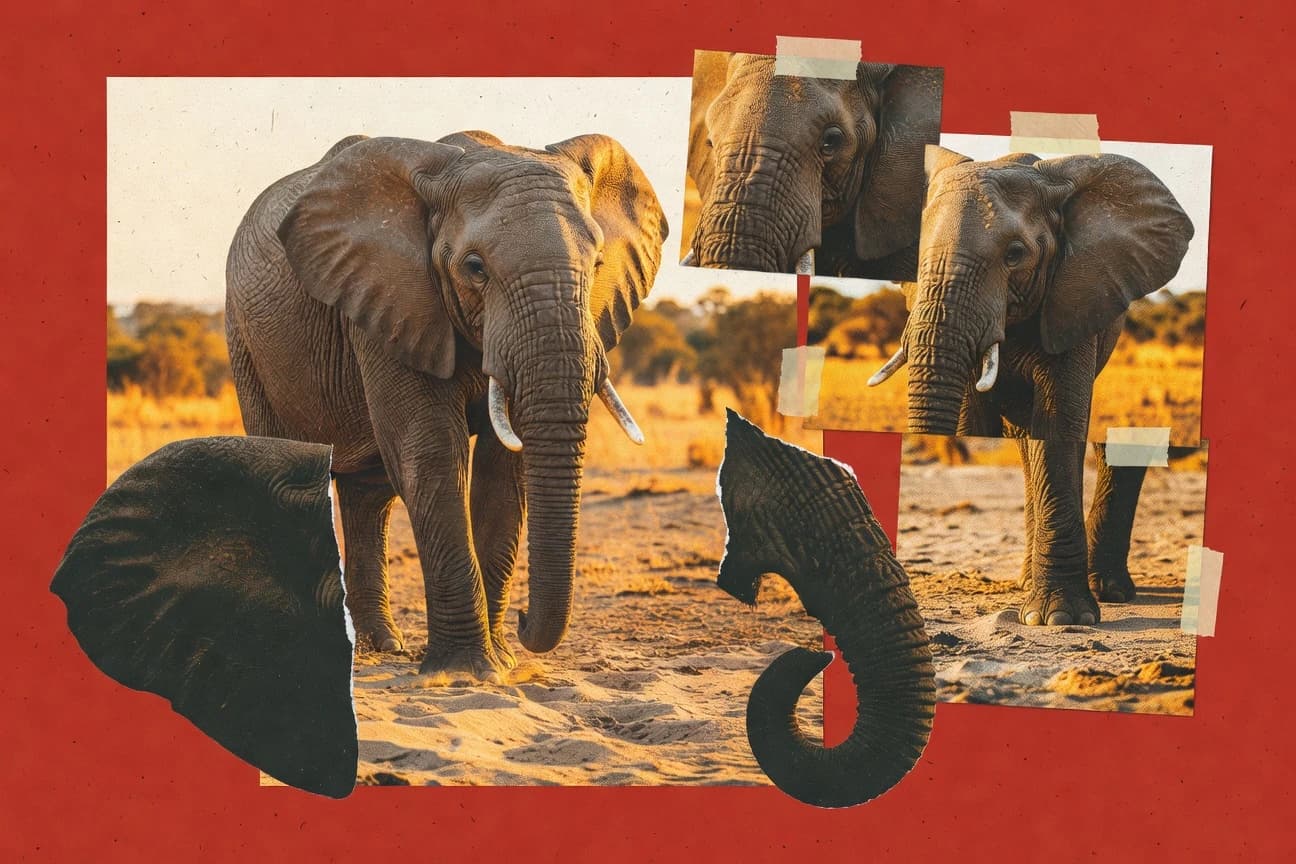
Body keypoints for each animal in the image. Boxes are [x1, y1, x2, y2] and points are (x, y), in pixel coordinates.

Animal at [226, 131, 667, 680]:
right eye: (474, 268)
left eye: (598, 263)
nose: (525, 620)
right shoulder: (392, 302)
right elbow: (432, 452)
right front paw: (466, 670)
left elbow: (505, 472)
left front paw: (500, 662)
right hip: (244, 337)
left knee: (369, 495)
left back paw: (381, 646)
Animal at [868, 147, 1195, 626]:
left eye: (1015, 254)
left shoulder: (1075, 297)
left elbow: (1059, 426)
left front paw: (1059, 619)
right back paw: (1028, 581)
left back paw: (1107, 590)